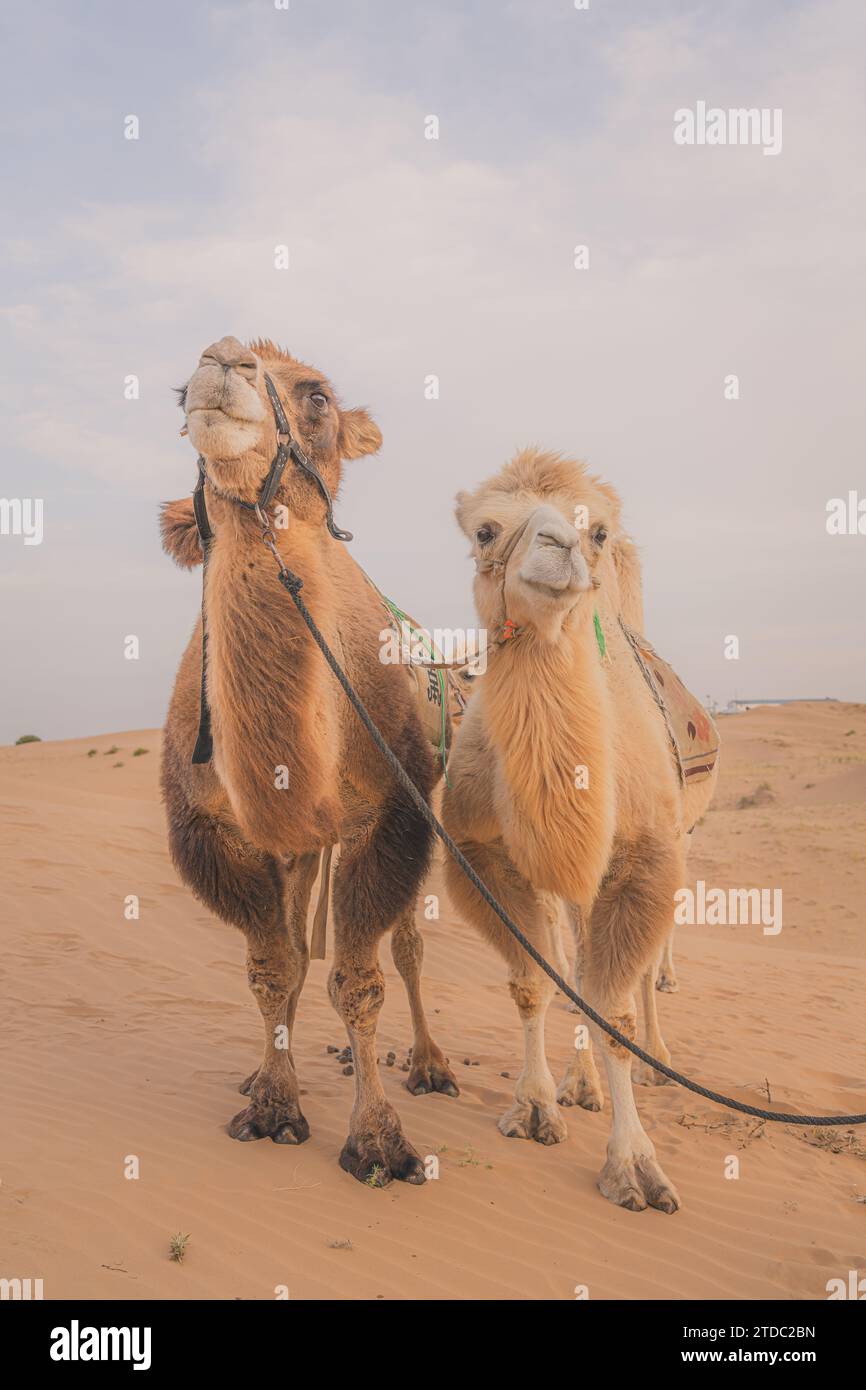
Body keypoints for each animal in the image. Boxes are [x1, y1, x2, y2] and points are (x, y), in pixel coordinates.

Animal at [160, 335, 458, 1187]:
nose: (222, 358)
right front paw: (272, 1104)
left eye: (318, 395)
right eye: (176, 393)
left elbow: (357, 981)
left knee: (406, 948)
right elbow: (275, 967)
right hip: (296, 849)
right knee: (295, 945)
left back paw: (427, 1065)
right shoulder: (215, 830)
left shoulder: (391, 819)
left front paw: (380, 1142)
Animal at [441, 448, 717, 1212]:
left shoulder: (644, 861)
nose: (559, 546)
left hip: (680, 842)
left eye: (595, 532)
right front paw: (535, 1106)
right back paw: (580, 1085)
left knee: (639, 975)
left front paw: (636, 1166)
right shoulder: (485, 856)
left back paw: (659, 1058)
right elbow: (535, 983)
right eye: (485, 530)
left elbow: (614, 1015)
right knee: (575, 961)